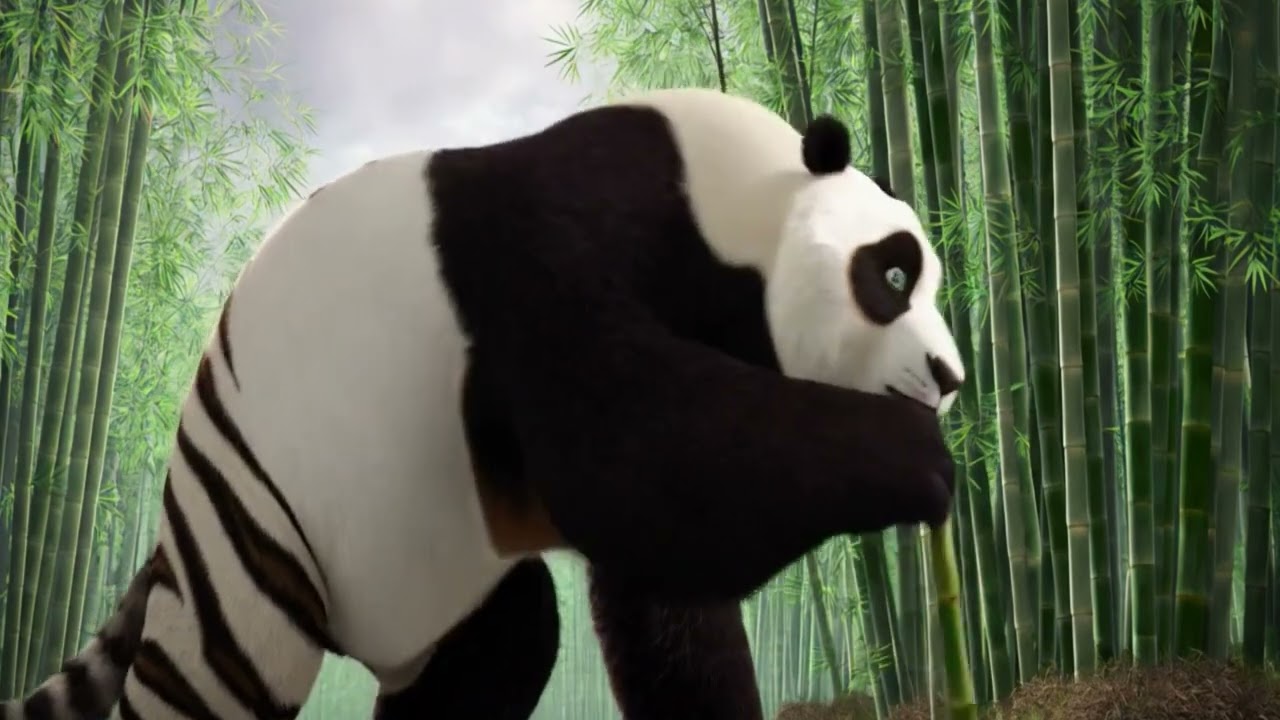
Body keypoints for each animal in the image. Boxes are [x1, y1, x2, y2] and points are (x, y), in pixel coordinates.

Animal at [1, 87, 963, 720]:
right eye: (891, 276)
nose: (951, 377)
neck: (726, 194)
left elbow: (665, 574)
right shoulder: (546, 252)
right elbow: (631, 457)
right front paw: (920, 460)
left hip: (427, 576)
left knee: (502, 641)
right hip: (253, 530)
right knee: (217, 682)